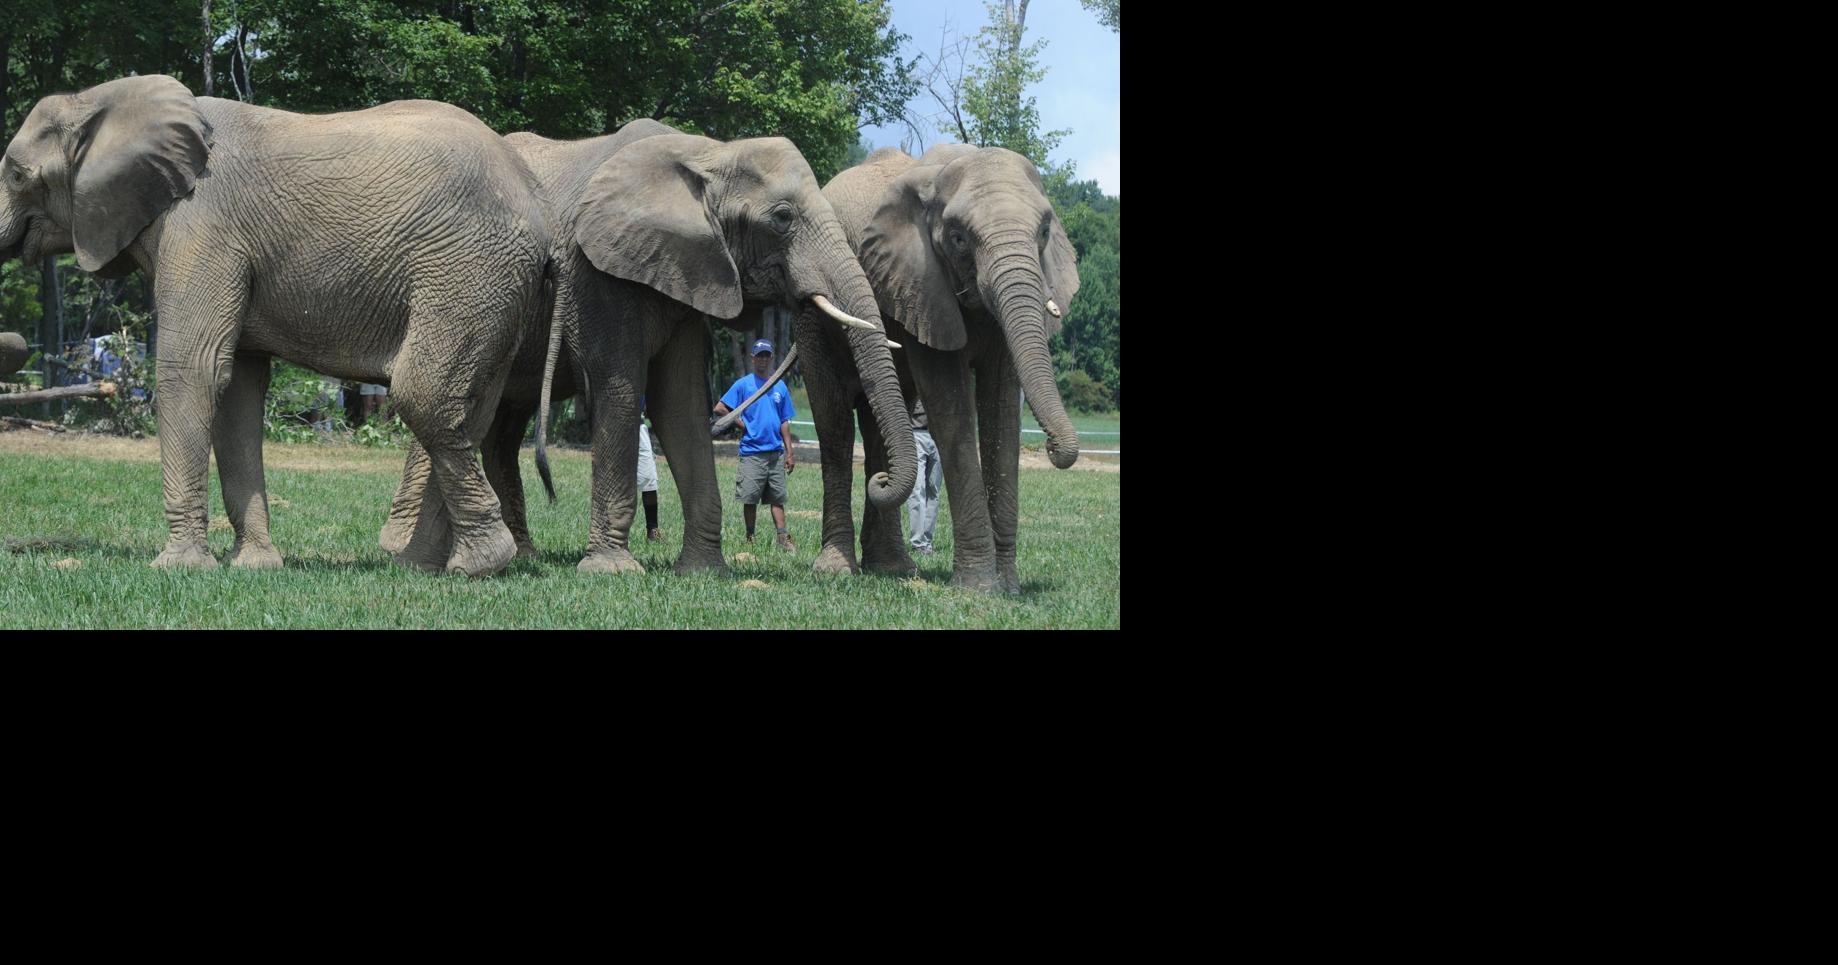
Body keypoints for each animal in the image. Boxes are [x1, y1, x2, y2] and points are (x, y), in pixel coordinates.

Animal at [0, 75, 550, 575]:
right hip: (495, 289)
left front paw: (179, 568)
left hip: (468, 270)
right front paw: (254, 567)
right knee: (471, 410)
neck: (101, 99)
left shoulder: (202, 223)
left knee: (424, 394)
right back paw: (431, 567)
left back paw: (477, 564)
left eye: (17, 175)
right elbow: (238, 386)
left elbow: (193, 370)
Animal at [378, 122, 915, 574]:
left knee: (500, 426)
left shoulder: (687, 271)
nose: (879, 480)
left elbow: (679, 403)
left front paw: (703, 572)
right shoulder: (599, 272)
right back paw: (409, 552)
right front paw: (611, 571)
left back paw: (514, 555)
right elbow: (621, 388)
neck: (709, 154)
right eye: (782, 218)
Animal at [797, 145, 1081, 593]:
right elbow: (951, 406)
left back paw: (892, 566)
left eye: (1043, 232)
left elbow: (1002, 406)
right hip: (811, 313)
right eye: (959, 238)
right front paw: (979, 589)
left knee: (879, 428)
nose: (1053, 447)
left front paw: (1008, 589)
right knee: (835, 425)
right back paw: (838, 568)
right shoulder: (920, 286)